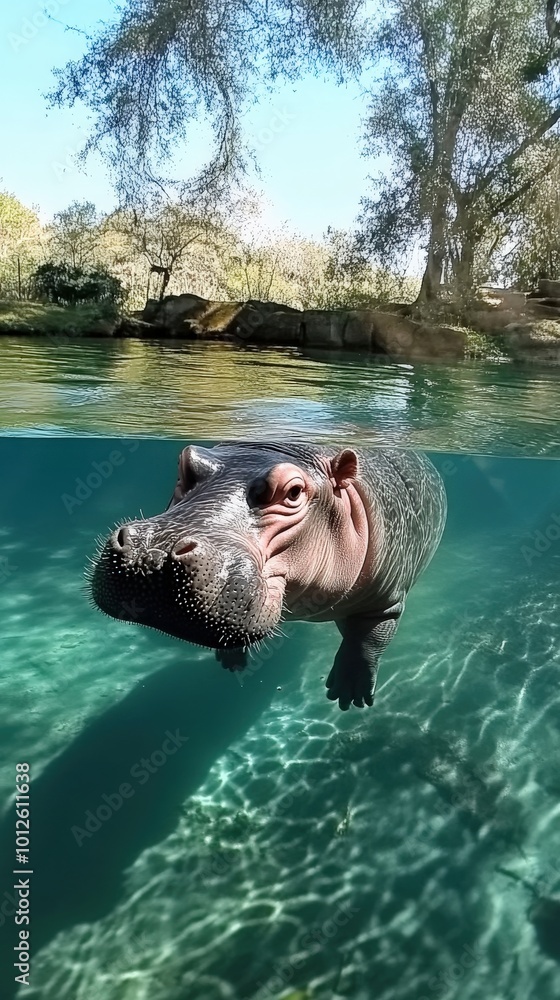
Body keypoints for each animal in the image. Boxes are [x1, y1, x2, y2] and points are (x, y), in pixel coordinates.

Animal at [90, 441, 447, 709]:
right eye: (186, 463)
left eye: (294, 492)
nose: (151, 554)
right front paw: (231, 660)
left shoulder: (385, 601)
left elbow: (368, 641)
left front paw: (349, 693)